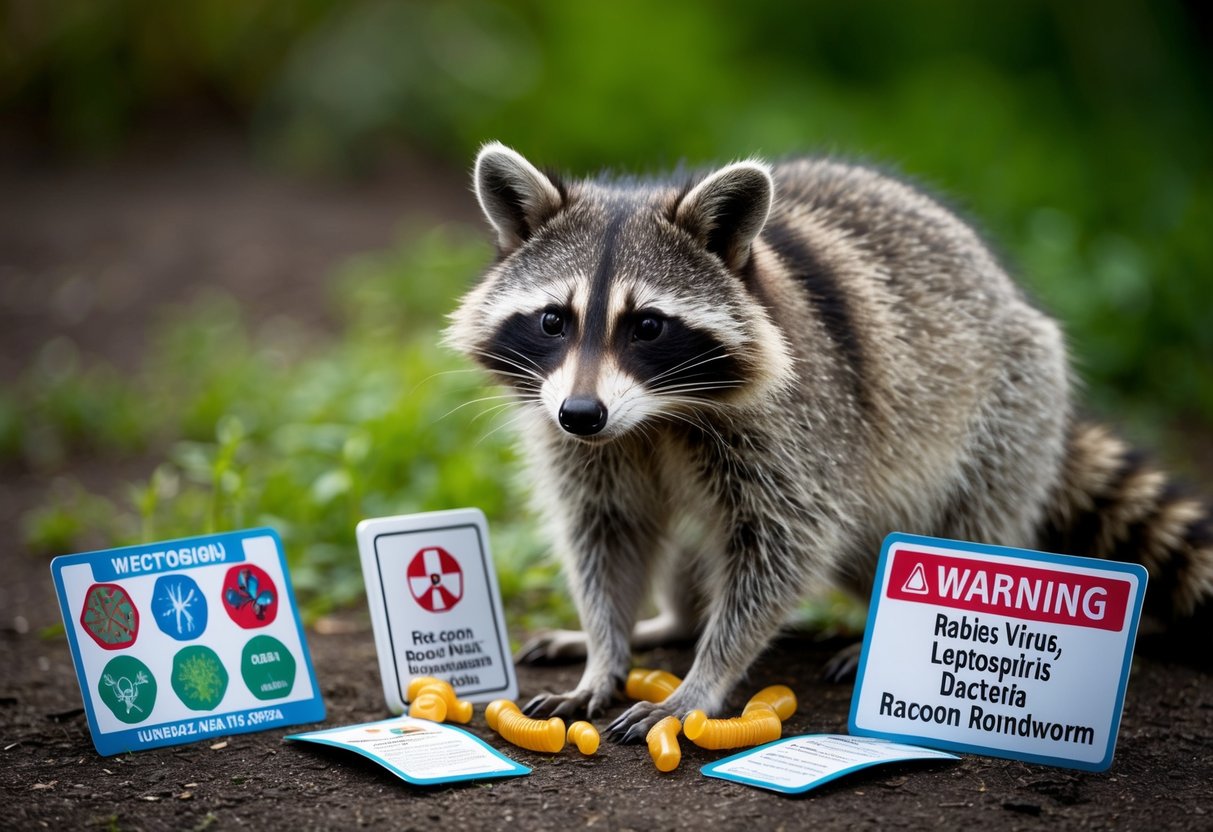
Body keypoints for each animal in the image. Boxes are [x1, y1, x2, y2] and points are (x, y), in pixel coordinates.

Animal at [444, 141, 1213, 741]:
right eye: (553, 320)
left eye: (648, 326)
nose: (582, 414)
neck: (656, 416)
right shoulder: (580, 437)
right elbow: (605, 537)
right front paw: (605, 653)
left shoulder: (800, 426)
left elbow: (782, 546)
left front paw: (703, 679)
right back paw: (669, 621)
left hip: (1011, 413)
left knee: (956, 528)